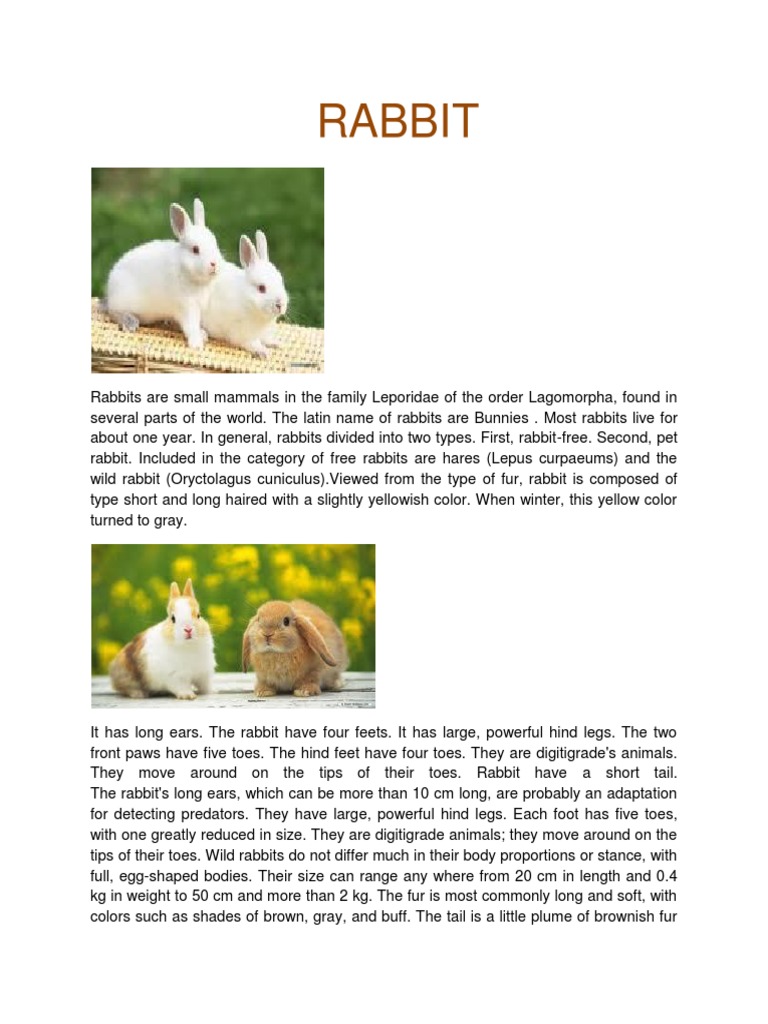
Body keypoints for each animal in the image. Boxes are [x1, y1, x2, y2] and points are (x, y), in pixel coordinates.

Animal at [104, 199, 222, 349]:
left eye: (215, 244)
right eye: (195, 249)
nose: (215, 264)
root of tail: (110, 289)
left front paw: (203, 334)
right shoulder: (186, 307)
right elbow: (191, 326)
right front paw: (197, 344)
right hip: (121, 301)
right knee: (113, 312)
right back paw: (130, 323)